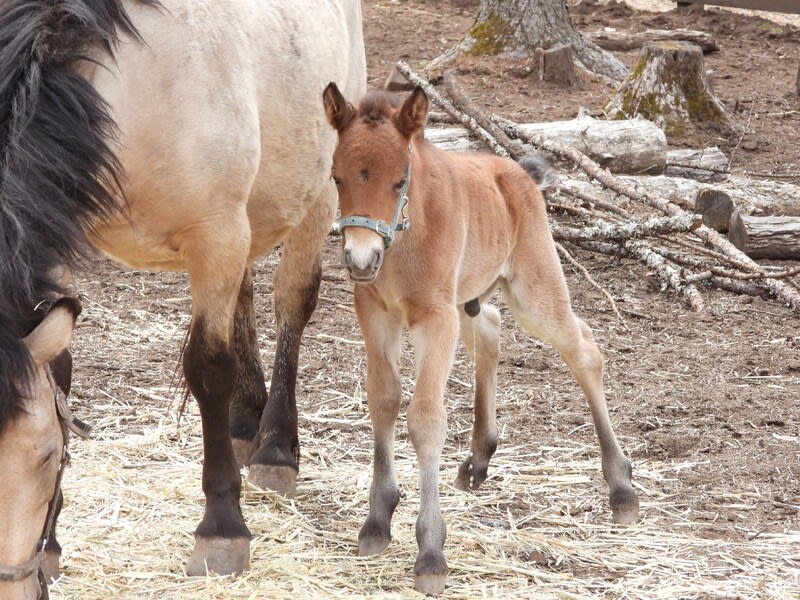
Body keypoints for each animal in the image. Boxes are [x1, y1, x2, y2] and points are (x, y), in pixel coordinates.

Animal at [0, 1, 365, 597]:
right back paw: (244, 423)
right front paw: (52, 547)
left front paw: (222, 530)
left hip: (316, 194)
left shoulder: (216, 235)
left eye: (48, 456)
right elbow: (61, 373)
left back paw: (275, 448)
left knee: (292, 302)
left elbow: (209, 369)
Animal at [322, 83, 640, 595]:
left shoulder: (435, 318)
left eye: (400, 181)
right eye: (337, 177)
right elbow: (384, 398)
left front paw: (431, 552)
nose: (361, 258)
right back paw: (479, 457)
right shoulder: (374, 311)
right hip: (468, 298)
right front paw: (377, 521)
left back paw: (622, 489)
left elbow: (425, 418)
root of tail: (520, 173)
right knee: (490, 327)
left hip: (532, 291)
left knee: (584, 349)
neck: (405, 241)